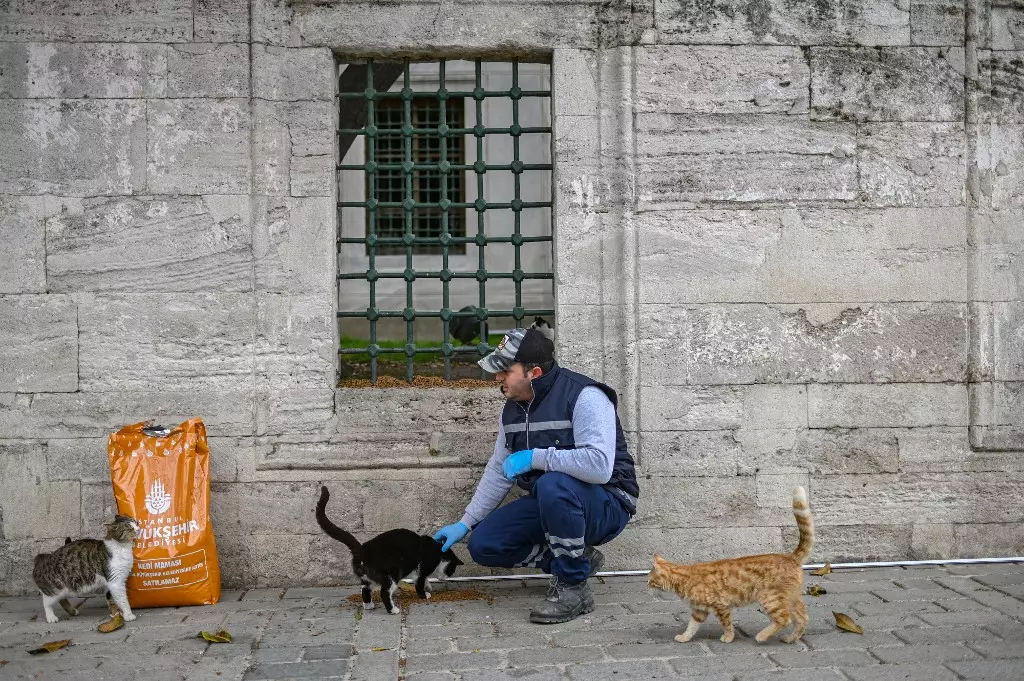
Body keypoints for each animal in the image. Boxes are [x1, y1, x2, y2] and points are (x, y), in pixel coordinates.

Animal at [315, 485, 464, 614]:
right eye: (452, 570)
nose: (445, 579)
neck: (438, 550)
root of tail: (363, 549)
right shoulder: (423, 568)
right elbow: (420, 583)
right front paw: (424, 594)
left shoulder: (416, 571)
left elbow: (421, 580)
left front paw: (429, 585)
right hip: (391, 575)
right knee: (384, 592)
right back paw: (393, 610)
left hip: (368, 577)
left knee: (365, 589)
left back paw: (368, 606)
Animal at [647, 483, 815, 643]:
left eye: (649, 579)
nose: (646, 585)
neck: (684, 578)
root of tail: (790, 557)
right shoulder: (699, 611)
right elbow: (691, 626)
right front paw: (684, 637)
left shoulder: (721, 606)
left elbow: (726, 625)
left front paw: (728, 637)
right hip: (789, 599)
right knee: (802, 618)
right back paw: (790, 638)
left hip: (770, 599)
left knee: (785, 619)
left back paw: (762, 636)